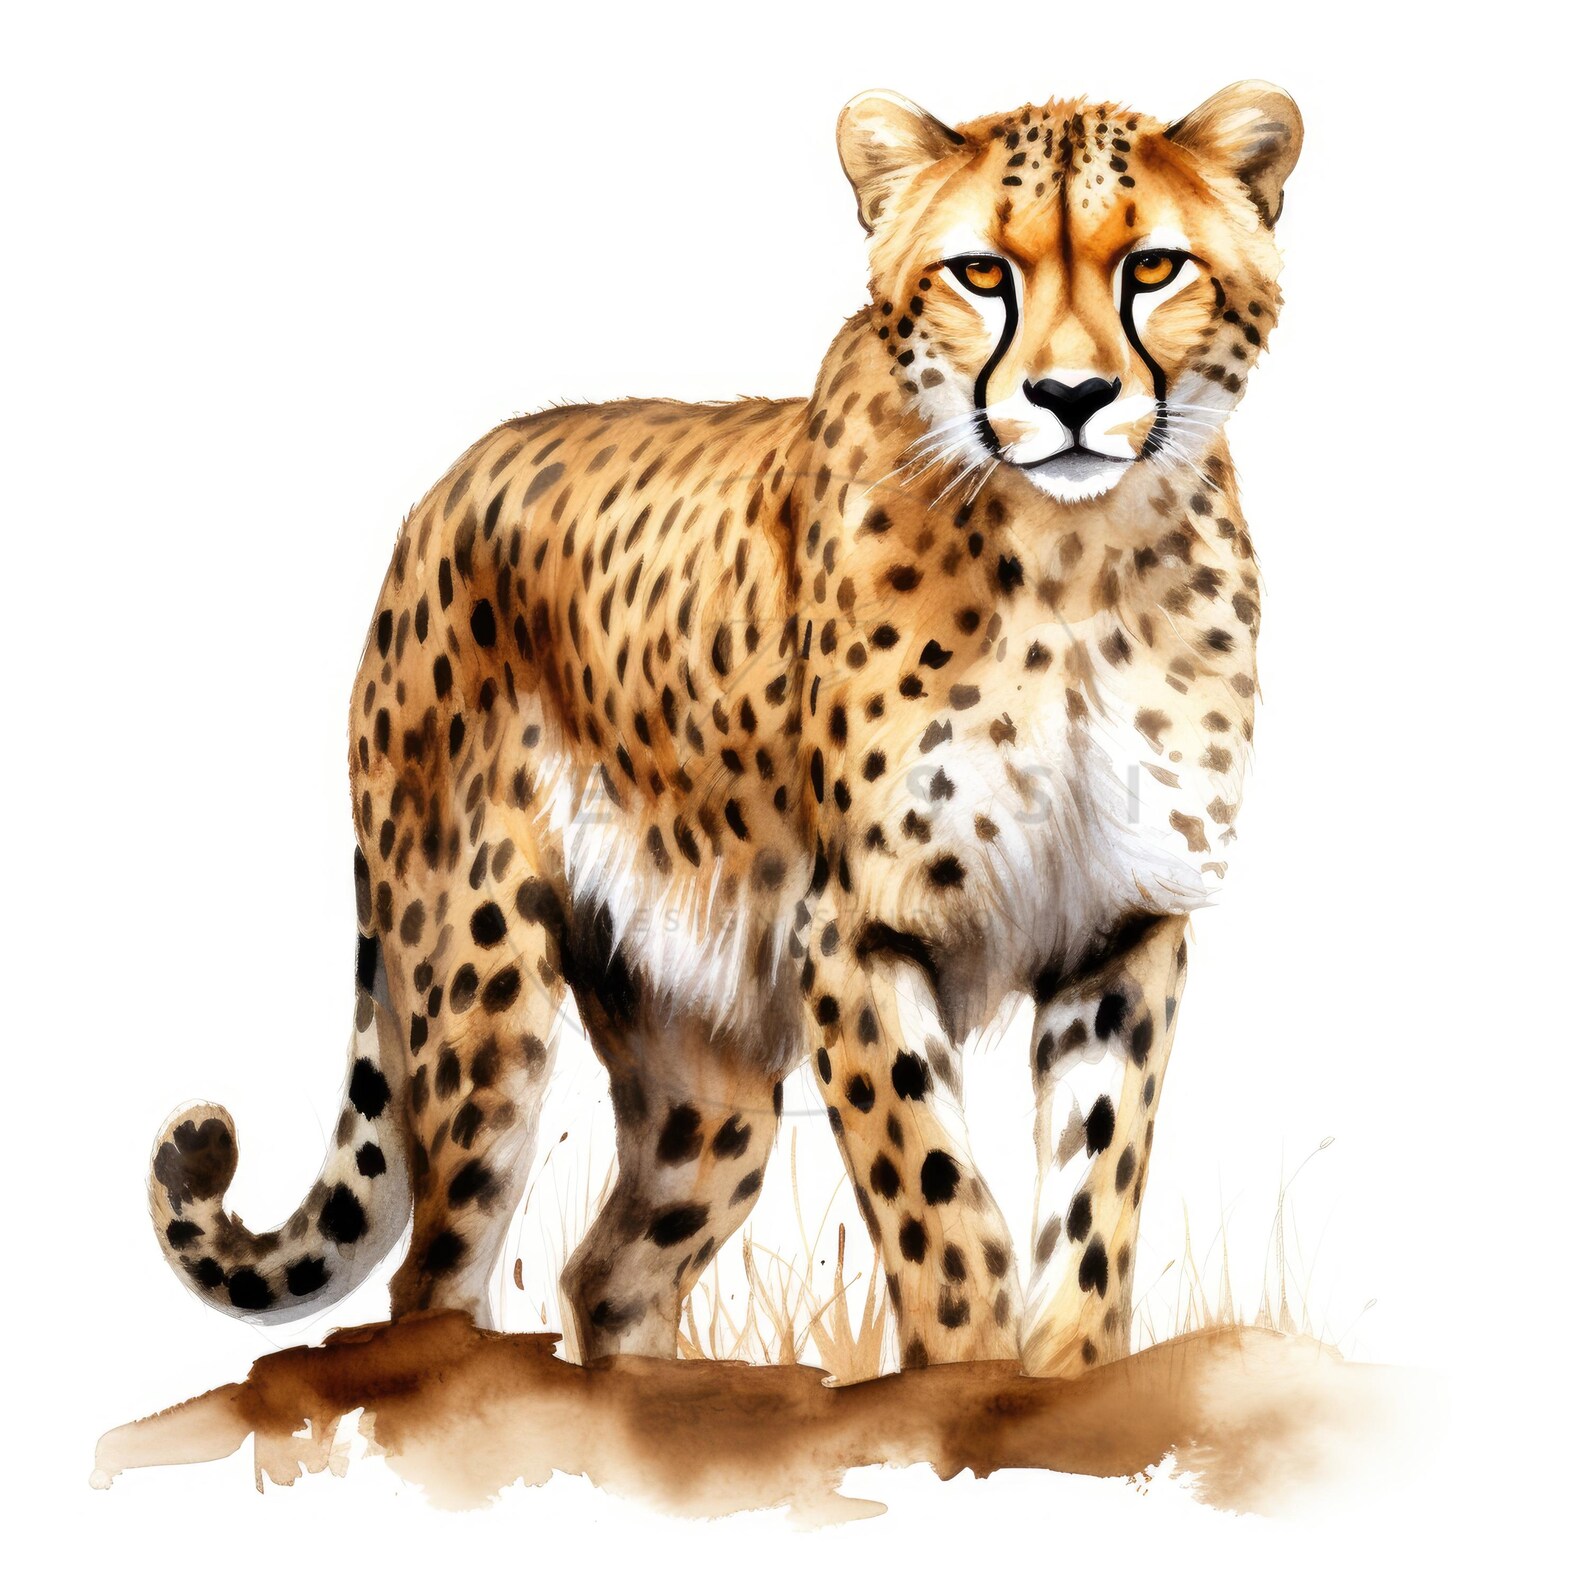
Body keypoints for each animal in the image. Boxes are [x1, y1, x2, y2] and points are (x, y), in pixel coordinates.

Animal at [148, 81, 1302, 1377]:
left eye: (1152, 266)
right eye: (981, 274)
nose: (1070, 400)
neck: (1076, 556)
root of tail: (443, 490)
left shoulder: (1120, 924)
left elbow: (1096, 1197)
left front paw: (1063, 1376)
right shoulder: (856, 930)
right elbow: (945, 1212)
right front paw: (969, 1380)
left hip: (697, 1054)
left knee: (609, 1271)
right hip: (479, 977)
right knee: (432, 1280)